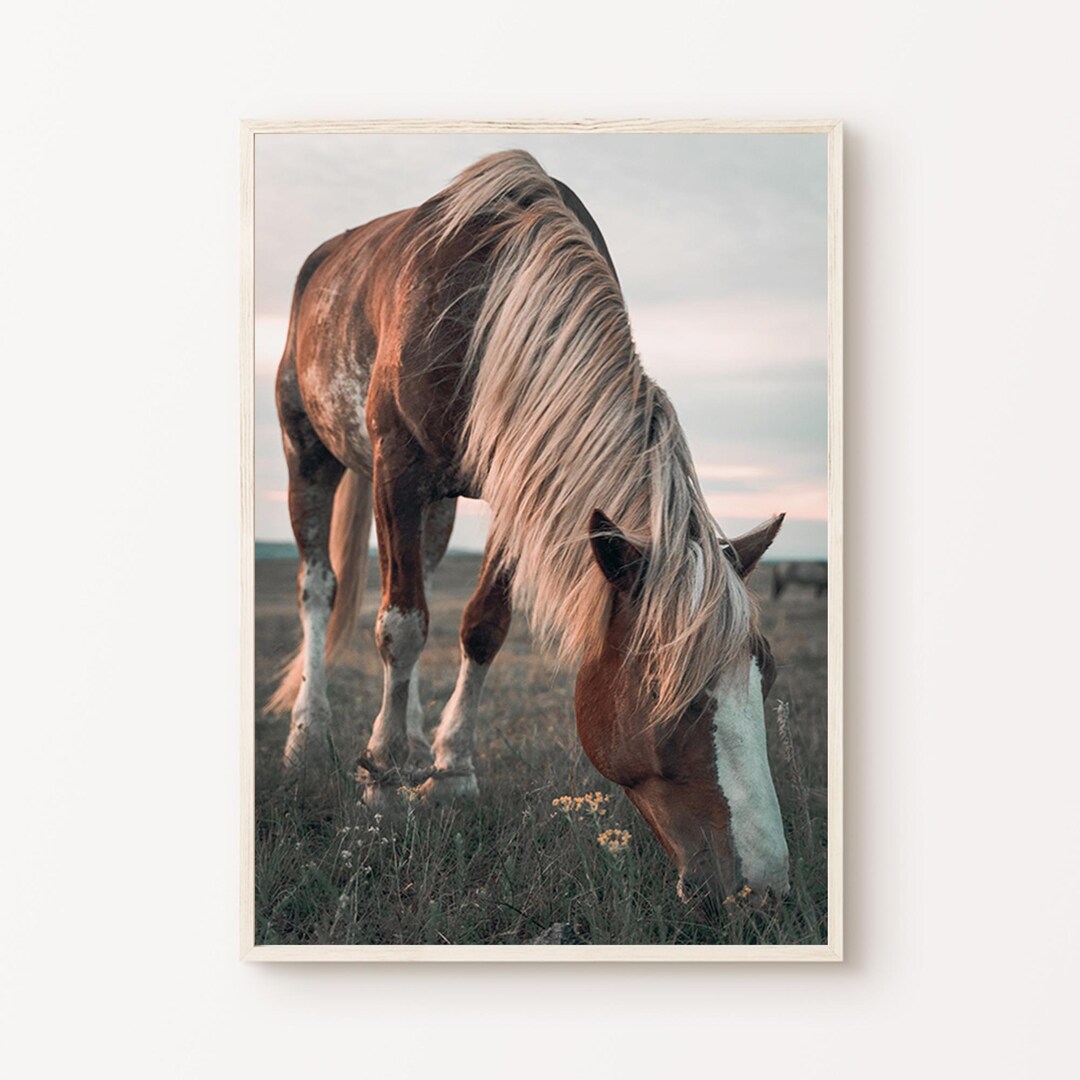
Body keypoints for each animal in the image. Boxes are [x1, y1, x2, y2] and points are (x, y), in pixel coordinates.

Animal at [267, 150, 790, 904]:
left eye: (765, 675)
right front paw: (384, 787)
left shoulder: (522, 482)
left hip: (436, 504)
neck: (490, 298)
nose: (765, 887)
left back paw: (410, 739)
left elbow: (481, 625)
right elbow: (400, 626)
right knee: (321, 589)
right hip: (307, 448)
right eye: (676, 699)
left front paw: (451, 774)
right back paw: (309, 739)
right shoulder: (398, 466)